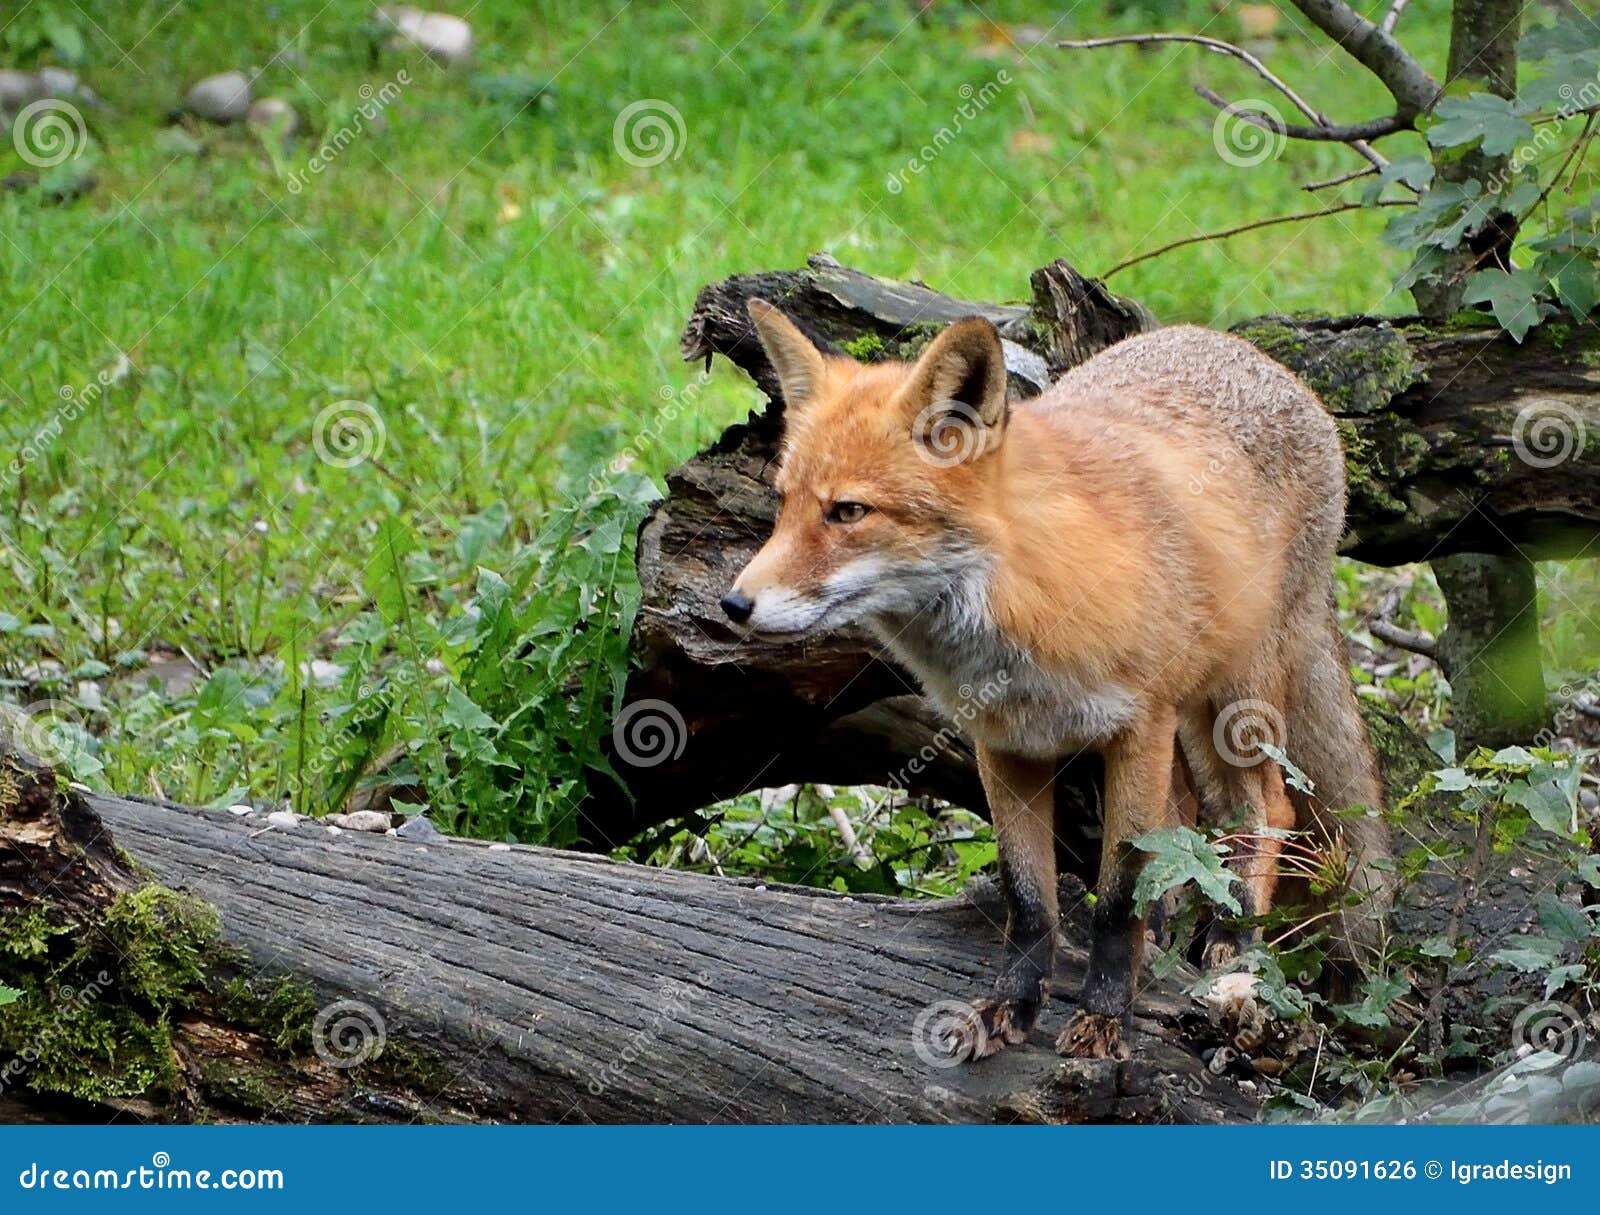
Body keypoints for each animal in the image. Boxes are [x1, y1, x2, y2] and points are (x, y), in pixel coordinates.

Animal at [720, 298, 1391, 1060]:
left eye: (849, 512)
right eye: (782, 503)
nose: (734, 605)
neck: (1025, 599)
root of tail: (1250, 354)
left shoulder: (1137, 729)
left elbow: (1118, 897)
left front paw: (1104, 1017)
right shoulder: (1005, 745)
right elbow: (1030, 898)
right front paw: (1010, 1007)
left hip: (1238, 699)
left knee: (1265, 807)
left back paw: (1233, 935)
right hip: (1188, 718)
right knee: (1191, 819)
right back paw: (1173, 930)